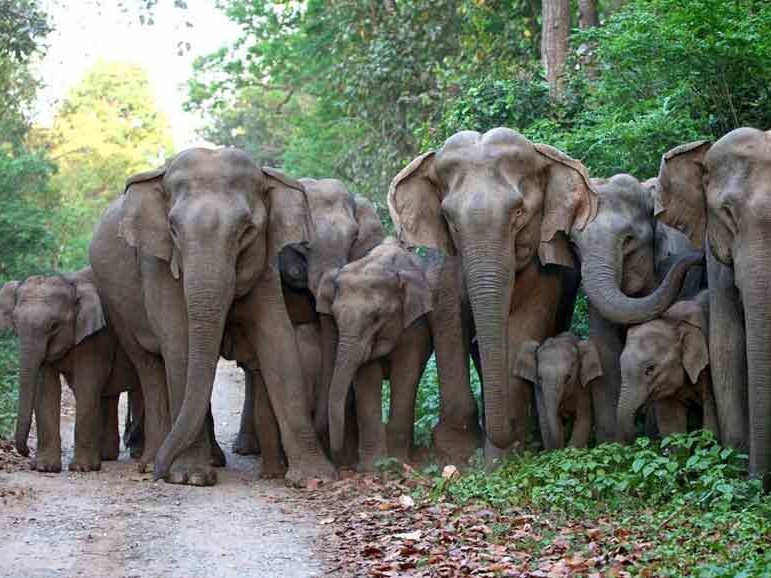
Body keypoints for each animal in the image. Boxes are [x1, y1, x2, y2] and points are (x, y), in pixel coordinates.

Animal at [0, 268, 141, 472]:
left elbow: (87, 384)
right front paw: (45, 468)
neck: (71, 282)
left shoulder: (97, 336)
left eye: (53, 326)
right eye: (15, 323)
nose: (26, 453)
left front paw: (82, 468)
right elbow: (46, 387)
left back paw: (136, 454)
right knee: (108, 396)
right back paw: (107, 457)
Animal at [89, 148, 335, 486]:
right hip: (115, 303)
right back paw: (153, 460)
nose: (160, 474)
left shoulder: (265, 264)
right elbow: (179, 342)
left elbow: (278, 339)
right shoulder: (157, 263)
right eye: (173, 229)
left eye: (247, 231)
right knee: (149, 365)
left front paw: (315, 477)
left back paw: (199, 459)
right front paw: (189, 477)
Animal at [316, 238, 433, 470]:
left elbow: (405, 373)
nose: (341, 465)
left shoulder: (416, 324)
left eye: (376, 318)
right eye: (335, 317)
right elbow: (366, 377)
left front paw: (397, 462)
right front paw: (372, 467)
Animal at [388, 128, 596, 460]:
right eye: (449, 218)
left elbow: (524, 325)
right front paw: (457, 449)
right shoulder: (446, 263)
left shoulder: (546, 270)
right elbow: (447, 318)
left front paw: (500, 456)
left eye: (520, 212)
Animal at [566, 174, 704, 442]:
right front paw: (612, 443)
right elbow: (606, 351)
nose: (701, 258)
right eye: (575, 245)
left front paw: (651, 435)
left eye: (629, 240)